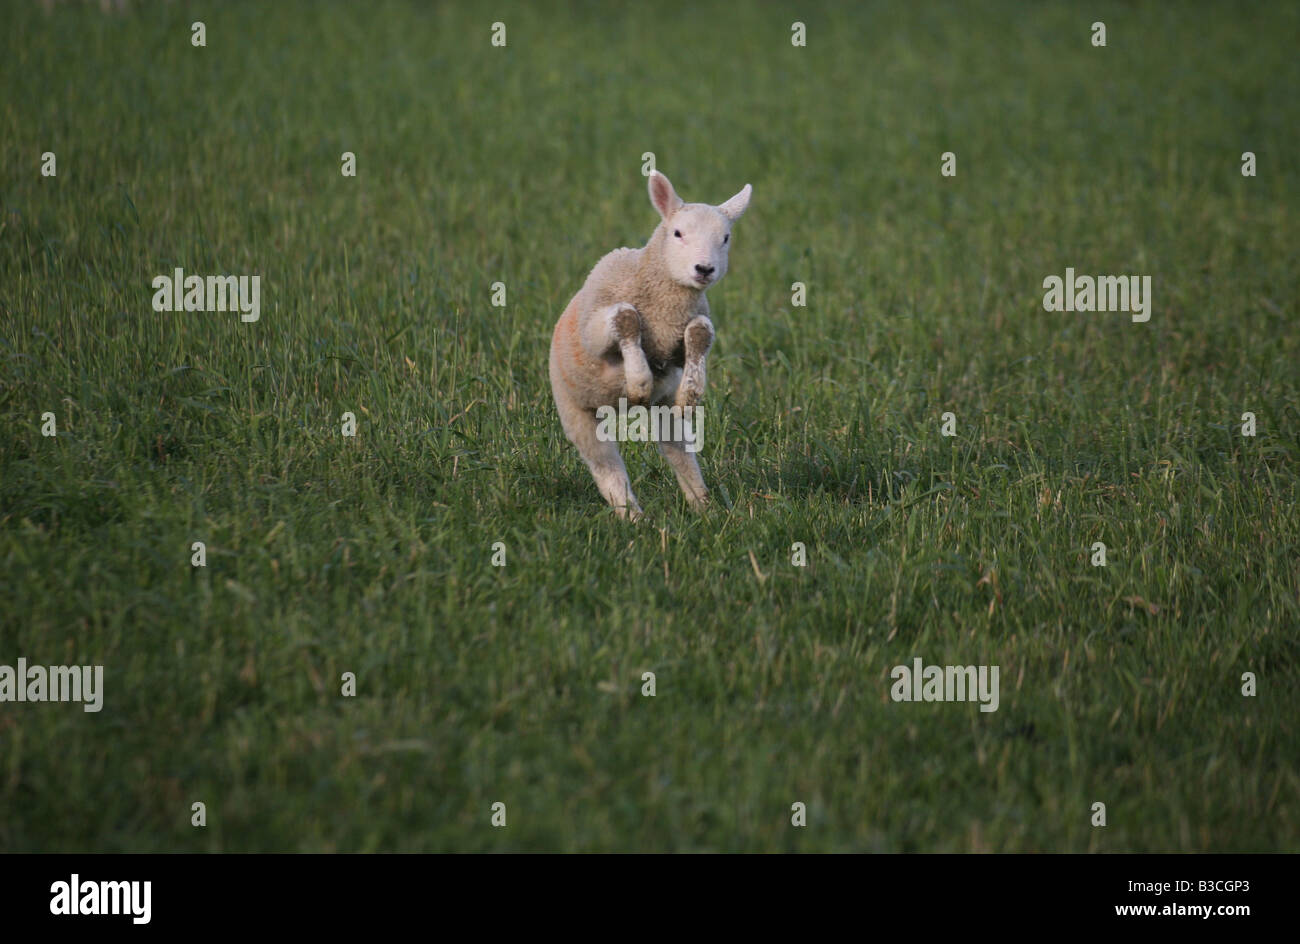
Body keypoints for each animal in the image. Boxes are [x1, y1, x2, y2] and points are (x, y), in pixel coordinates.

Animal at [549, 170, 752, 520]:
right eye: (677, 233)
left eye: (725, 238)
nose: (704, 269)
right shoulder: (594, 328)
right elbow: (626, 316)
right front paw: (639, 381)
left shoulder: (680, 333)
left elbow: (701, 331)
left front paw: (692, 390)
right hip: (575, 410)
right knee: (607, 468)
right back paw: (633, 517)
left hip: (664, 410)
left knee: (679, 453)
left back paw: (703, 507)